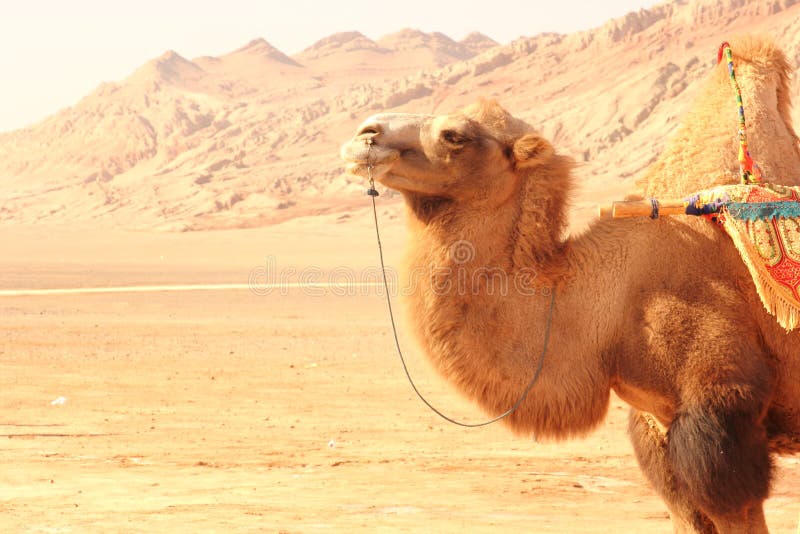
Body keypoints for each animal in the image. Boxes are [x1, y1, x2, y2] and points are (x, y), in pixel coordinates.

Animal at [340, 62, 800, 533]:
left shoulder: (720, 403)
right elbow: (684, 508)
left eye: (455, 135)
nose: (364, 133)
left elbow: (733, 507)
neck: (611, 305)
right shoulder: (656, 423)